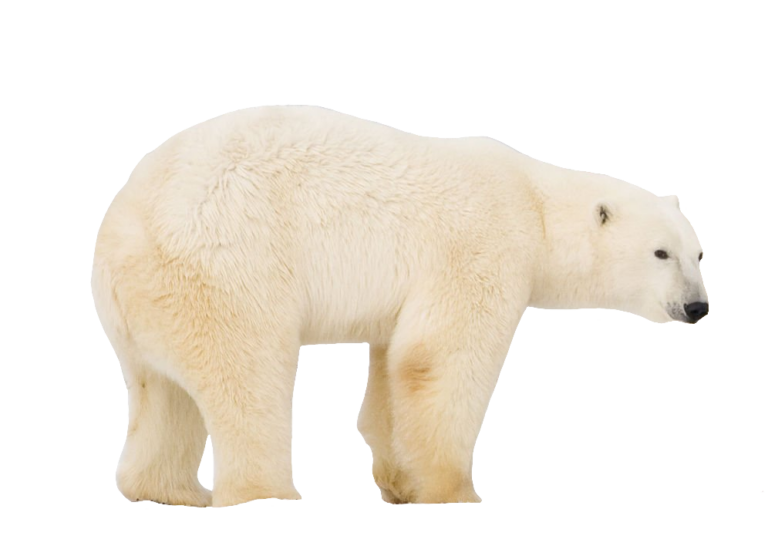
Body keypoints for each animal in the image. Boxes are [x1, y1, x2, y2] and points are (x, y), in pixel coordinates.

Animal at [90, 105, 708, 507]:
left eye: (698, 253)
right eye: (660, 252)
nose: (696, 306)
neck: (532, 201)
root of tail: (119, 229)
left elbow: (392, 370)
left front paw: (400, 483)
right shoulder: (479, 245)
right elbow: (442, 360)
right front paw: (453, 491)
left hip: (148, 308)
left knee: (161, 393)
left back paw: (172, 490)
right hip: (229, 263)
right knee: (250, 376)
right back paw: (266, 492)